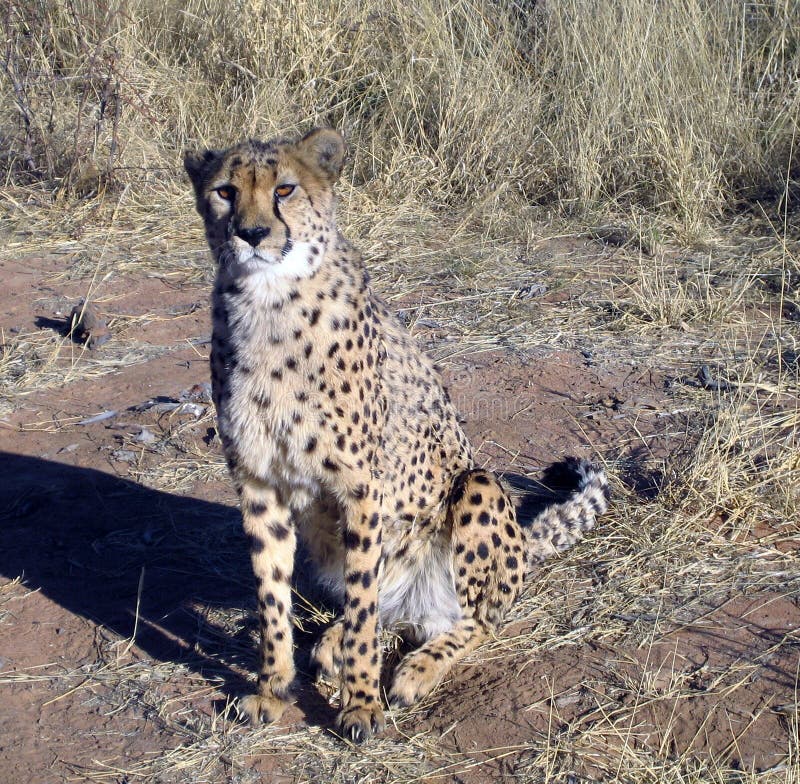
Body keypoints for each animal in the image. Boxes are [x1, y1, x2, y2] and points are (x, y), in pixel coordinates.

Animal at [184, 127, 609, 743]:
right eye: (224, 191)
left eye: (284, 189)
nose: (252, 233)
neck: (267, 301)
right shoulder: (258, 482)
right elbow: (271, 598)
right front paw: (272, 688)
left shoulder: (363, 489)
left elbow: (364, 609)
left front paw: (361, 704)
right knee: (389, 613)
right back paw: (331, 643)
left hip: (477, 489)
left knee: (474, 620)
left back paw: (415, 669)